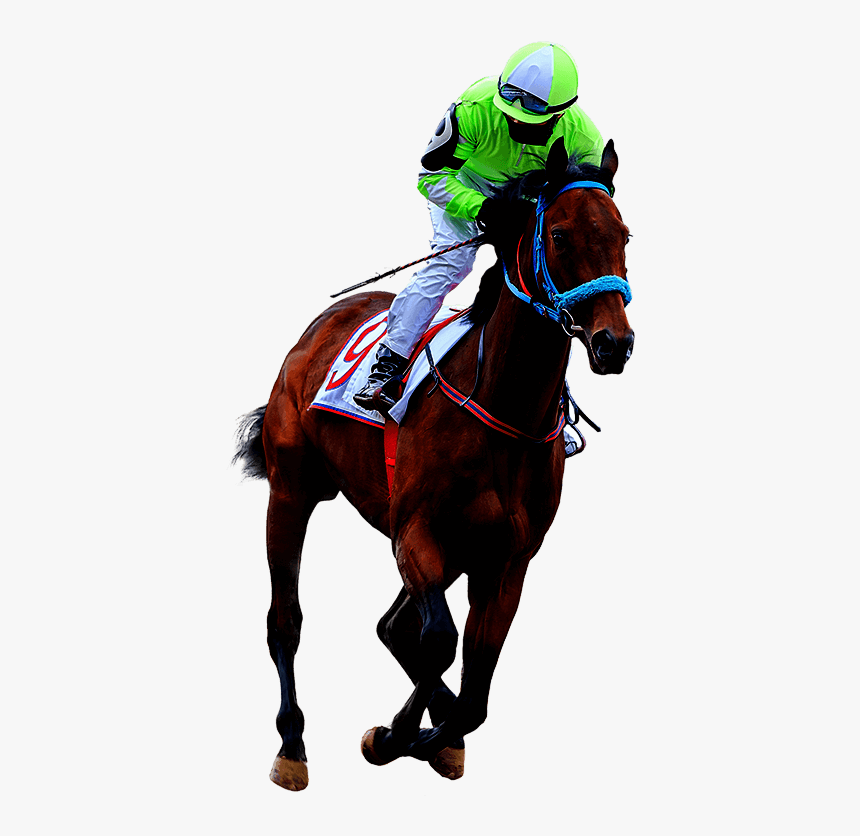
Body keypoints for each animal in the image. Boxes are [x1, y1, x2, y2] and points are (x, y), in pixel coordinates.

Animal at [234, 139, 634, 791]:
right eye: (561, 234)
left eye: (624, 234)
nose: (613, 343)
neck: (505, 410)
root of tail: (314, 332)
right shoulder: (416, 532)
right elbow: (441, 641)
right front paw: (392, 736)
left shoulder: (506, 560)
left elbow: (475, 691)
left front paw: (420, 736)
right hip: (291, 490)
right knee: (286, 620)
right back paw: (292, 746)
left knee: (394, 628)